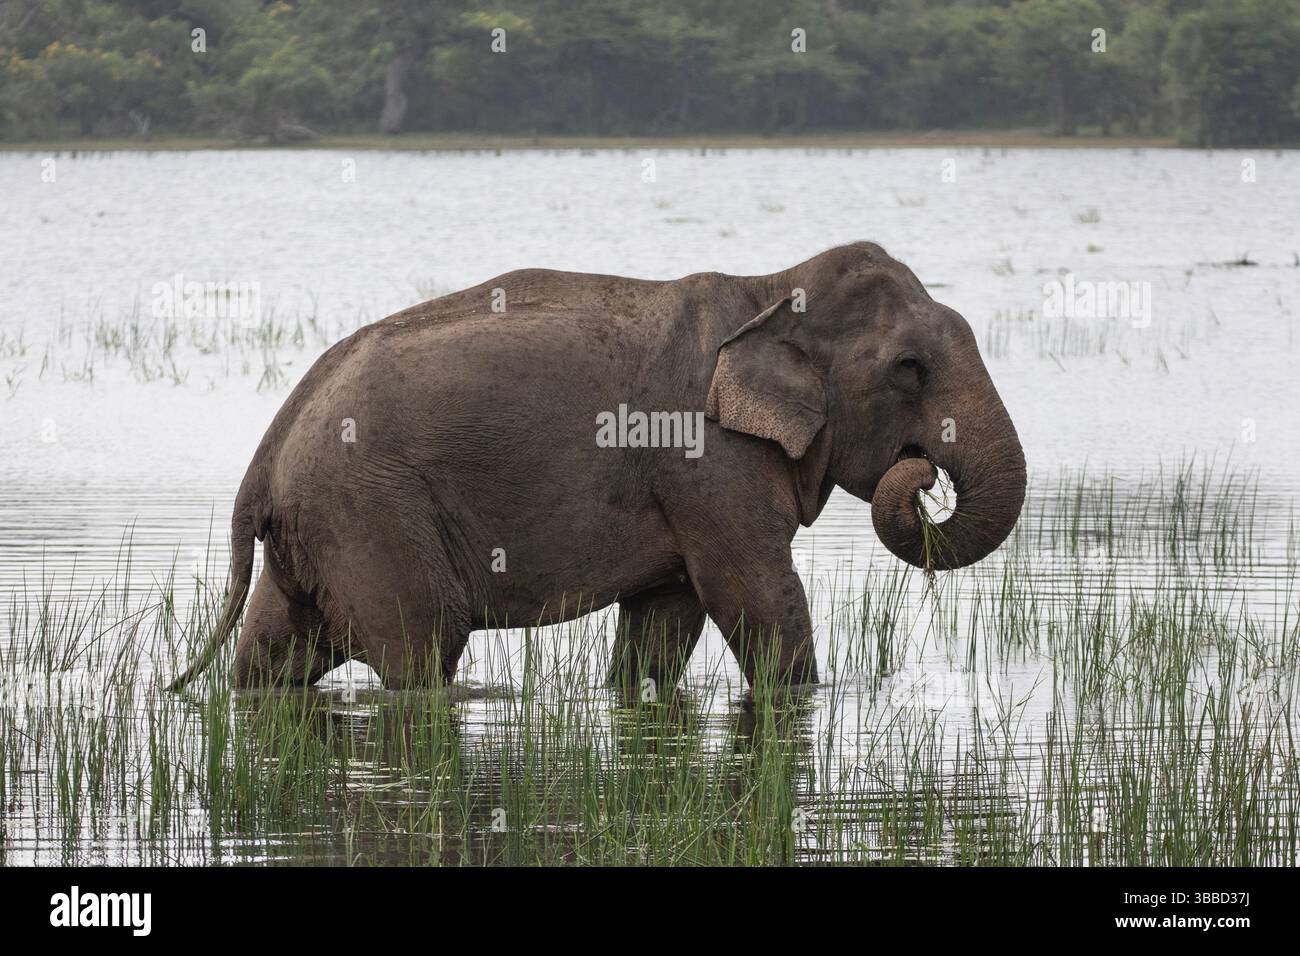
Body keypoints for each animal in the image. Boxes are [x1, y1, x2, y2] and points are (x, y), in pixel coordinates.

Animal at [167, 242, 1025, 694]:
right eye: (910, 369)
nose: (921, 473)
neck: (772, 288)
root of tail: (267, 451)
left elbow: (664, 621)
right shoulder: (707, 460)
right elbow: (756, 596)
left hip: (316, 527)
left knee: (274, 652)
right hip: (369, 512)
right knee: (422, 650)